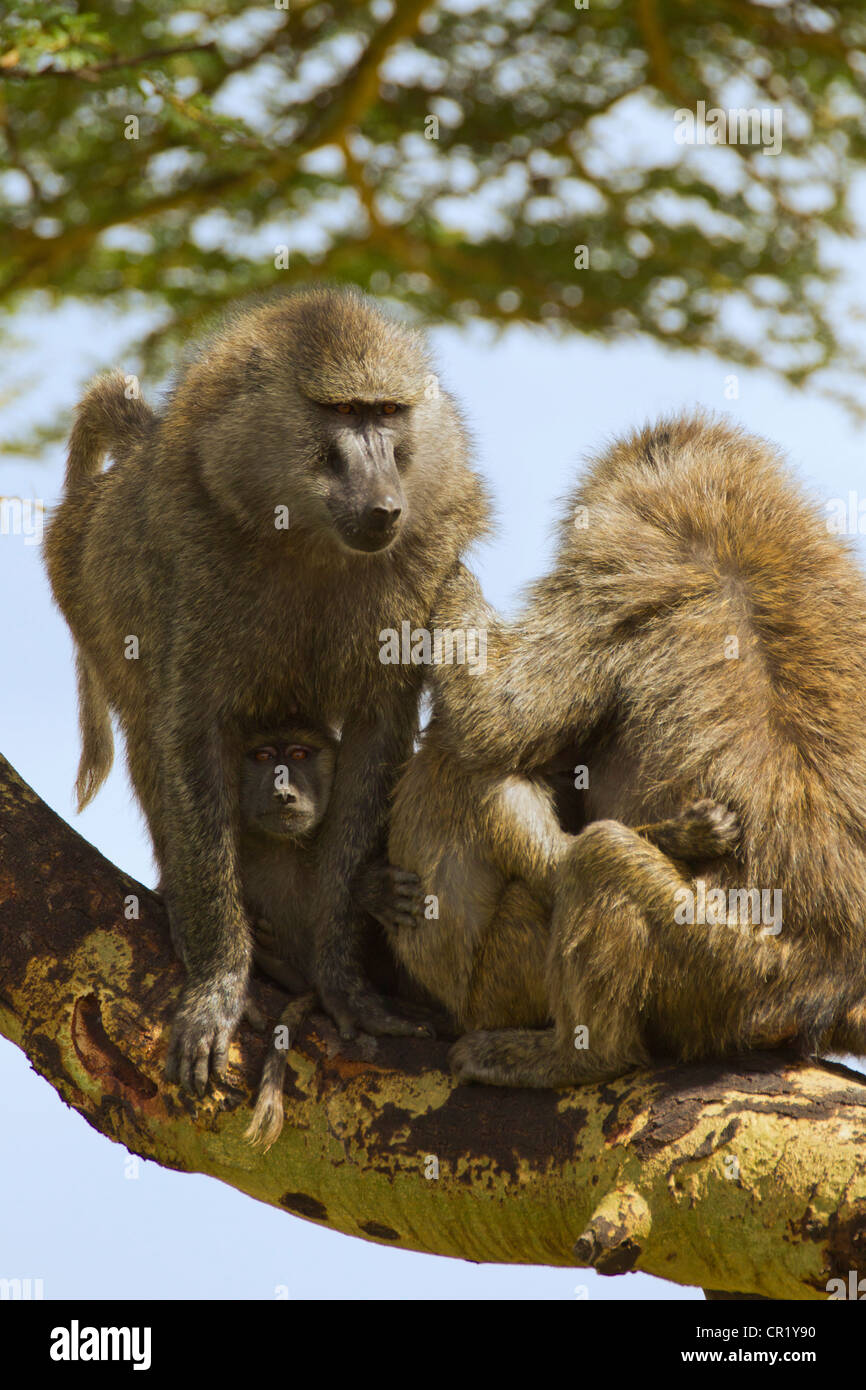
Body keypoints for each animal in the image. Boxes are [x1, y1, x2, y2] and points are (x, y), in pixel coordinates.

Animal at [44, 287, 490, 1096]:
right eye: (340, 414)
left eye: (386, 412)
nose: (383, 503)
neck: (308, 537)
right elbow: (188, 736)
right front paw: (221, 982)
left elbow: (377, 737)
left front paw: (346, 981)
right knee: (150, 743)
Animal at [411, 412, 866, 1087]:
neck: (726, 506)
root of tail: (827, 977)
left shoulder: (610, 569)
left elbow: (495, 718)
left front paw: (451, 573)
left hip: (729, 970)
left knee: (601, 858)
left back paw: (575, 1059)